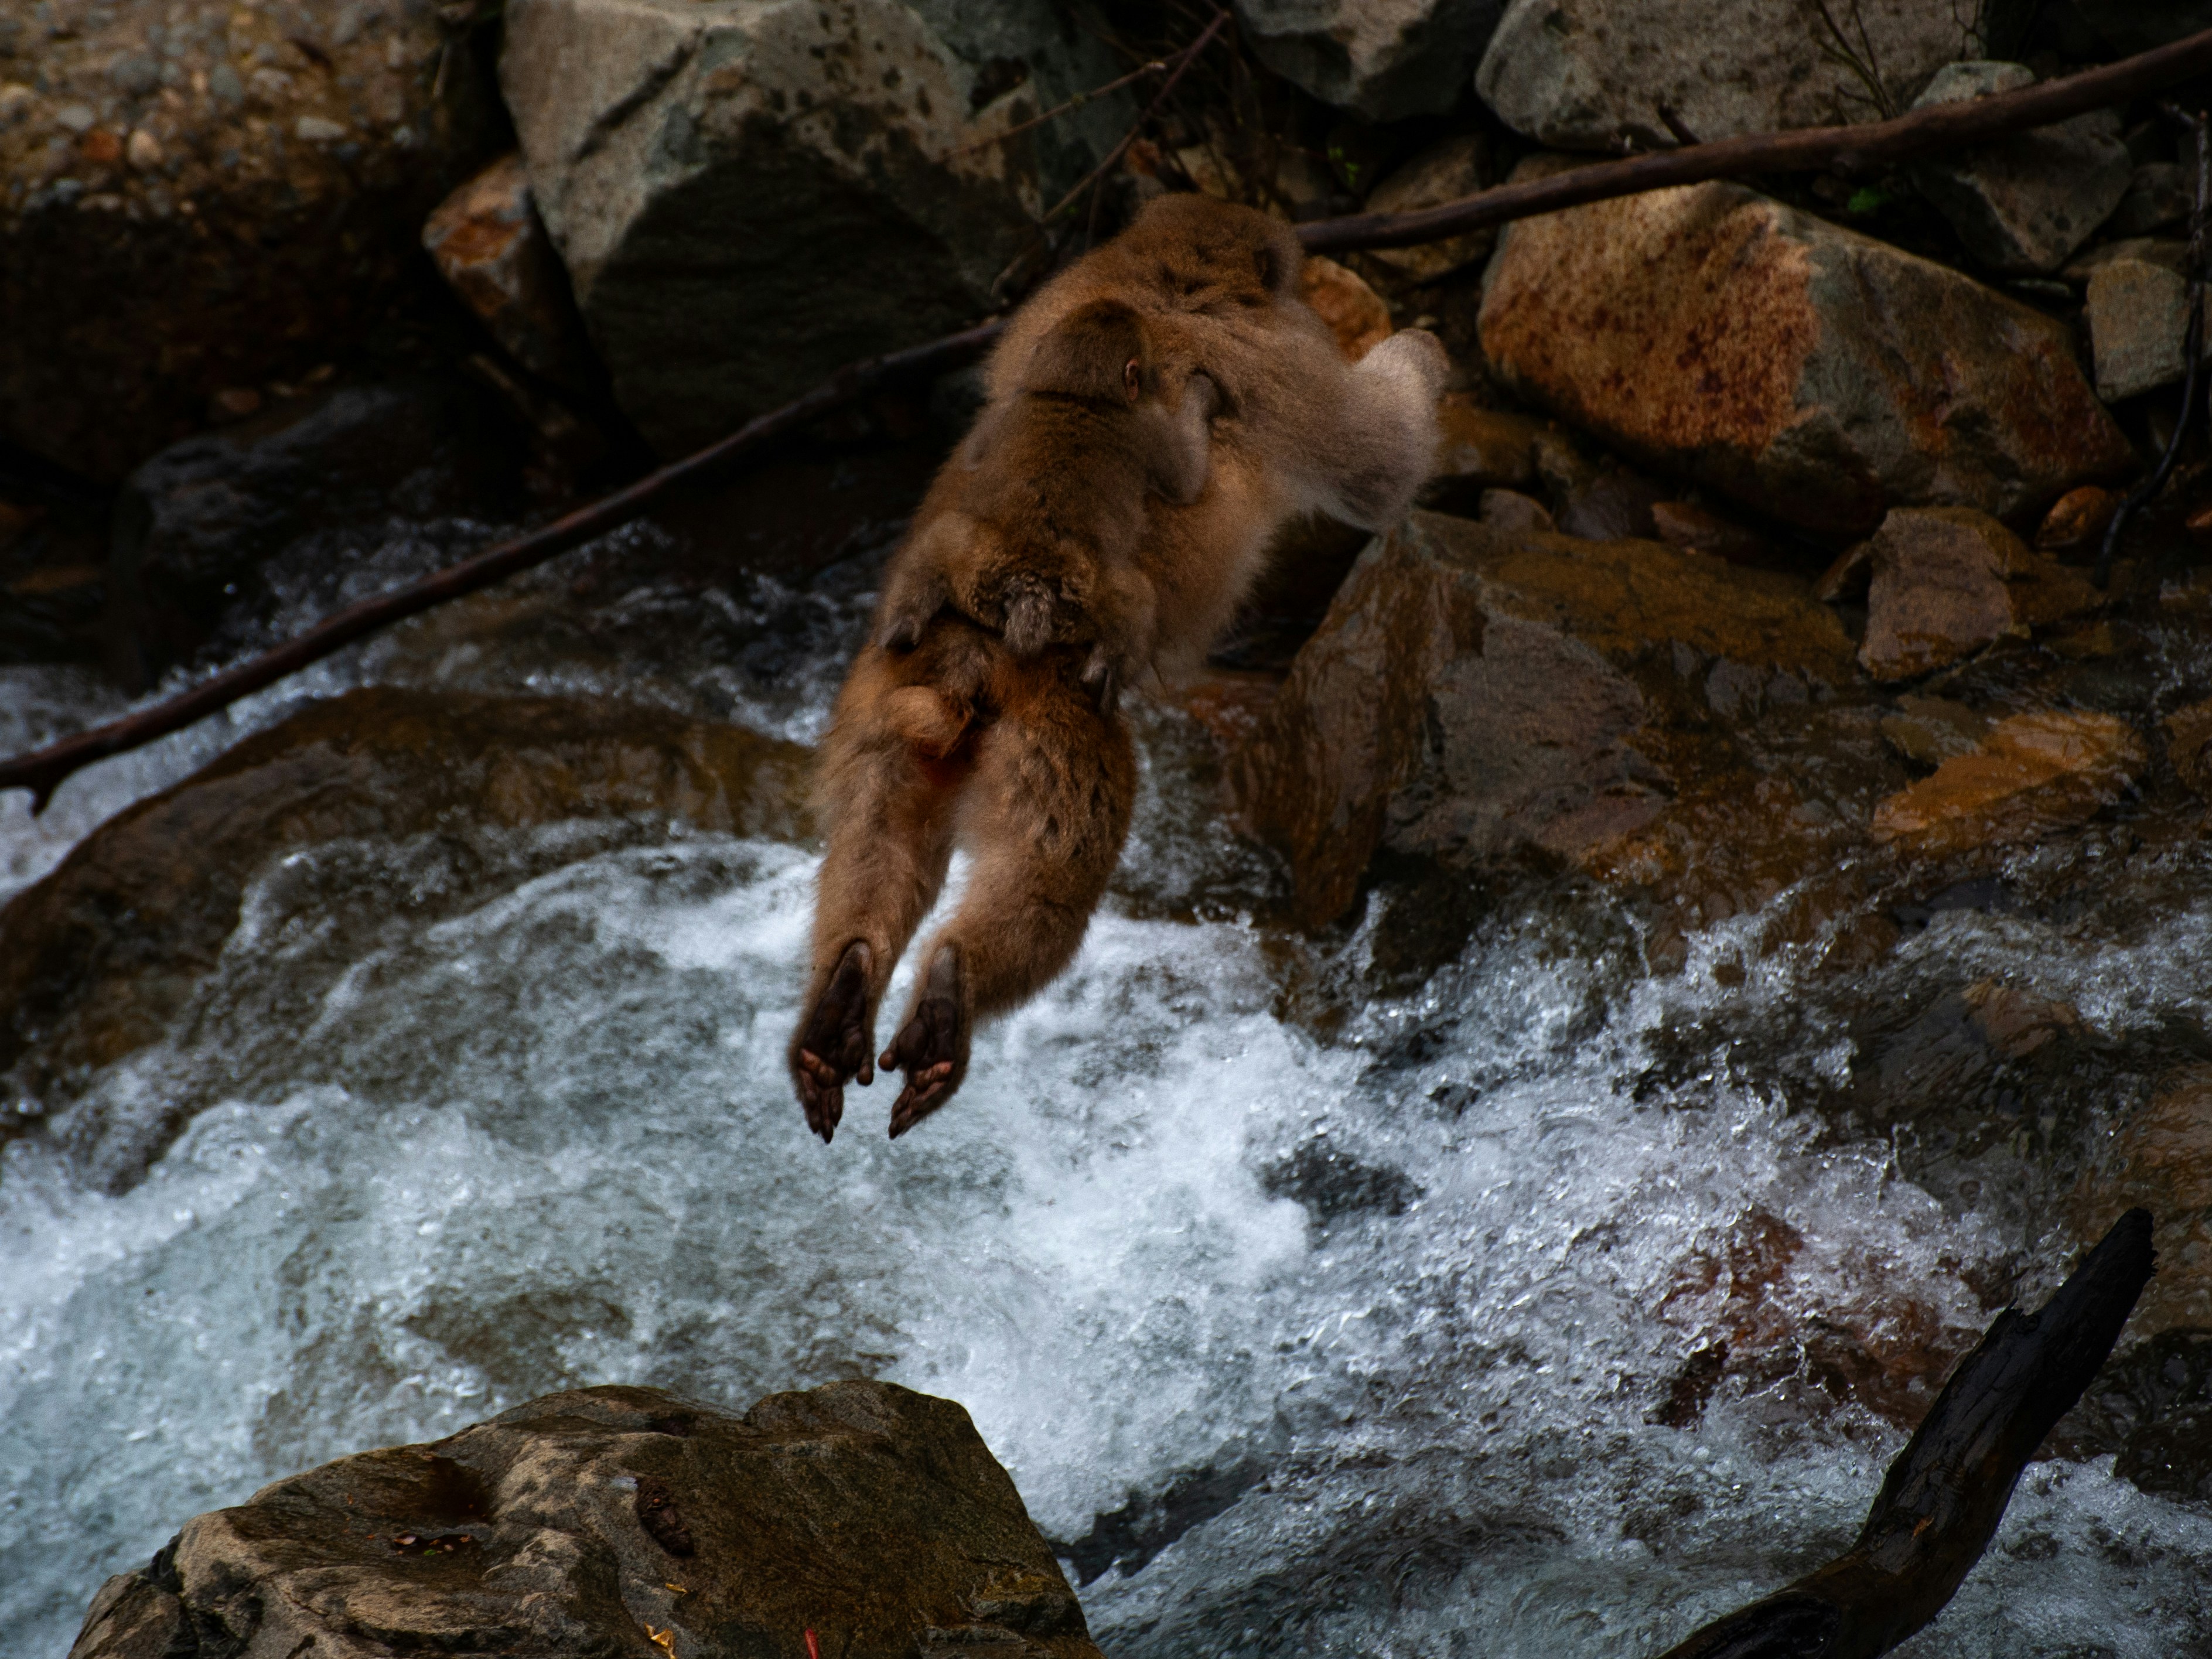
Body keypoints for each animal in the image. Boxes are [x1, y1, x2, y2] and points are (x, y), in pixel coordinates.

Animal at [790, 193, 1449, 1139]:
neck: (1166, 283)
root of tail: (982, 653)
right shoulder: (1285, 359)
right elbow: (1378, 471)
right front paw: (1425, 353)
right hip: (1060, 728)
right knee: (1054, 881)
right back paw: (954, 990)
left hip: (883, 699)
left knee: (876, 832)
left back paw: (846, 985)